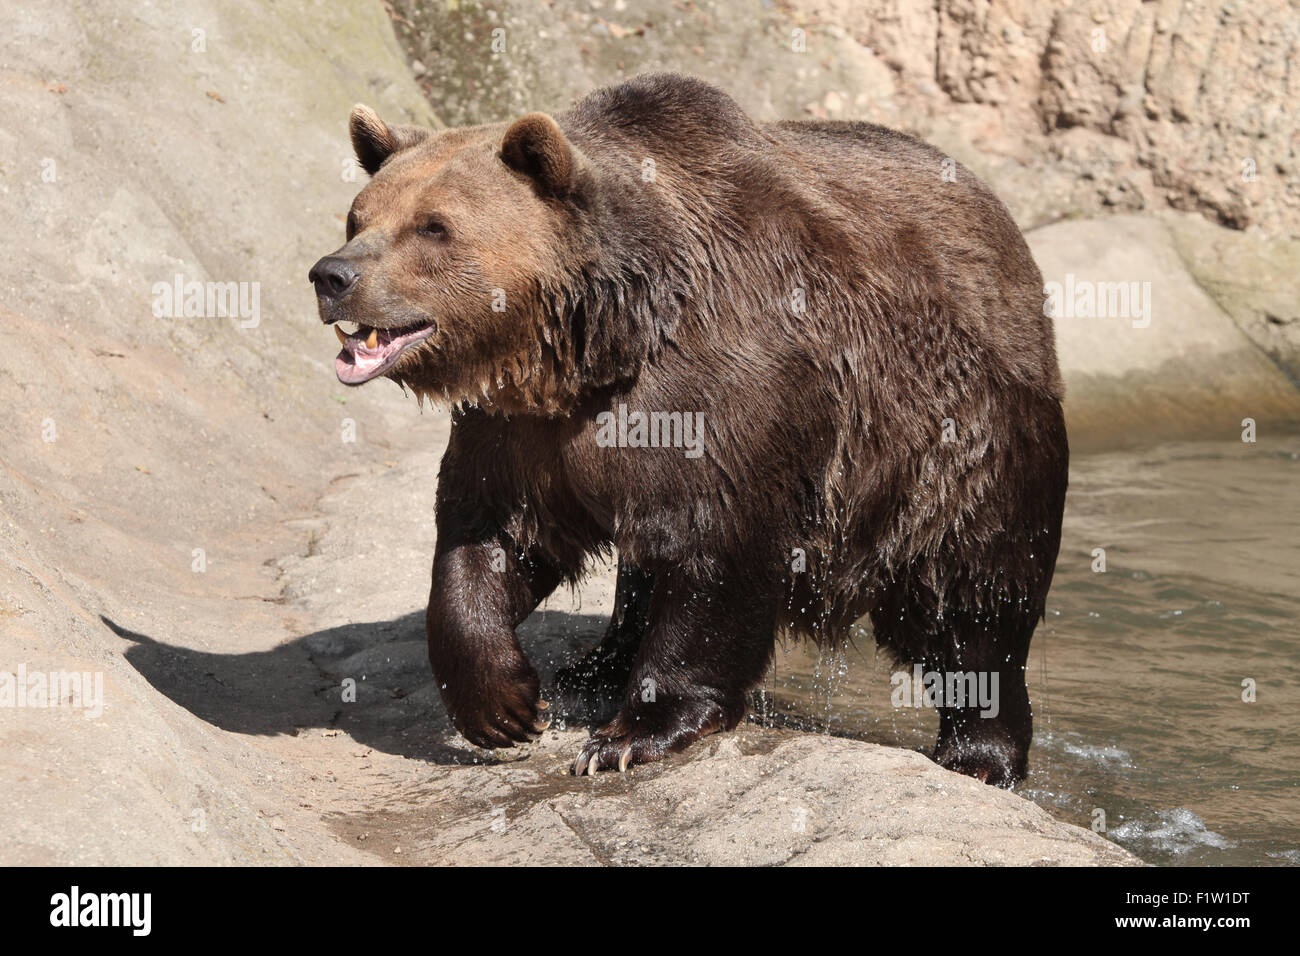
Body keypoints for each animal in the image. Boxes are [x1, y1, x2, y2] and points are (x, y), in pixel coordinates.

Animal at [308, 73, 1068, 787]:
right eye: (358, 215)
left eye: (433, 226)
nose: (332, 274)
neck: (597, 349)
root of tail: (1002, 221)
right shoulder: (521, 429)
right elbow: (489, 535)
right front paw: (506, 705)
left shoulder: (729, 391)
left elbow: (714, 554)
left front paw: (631, 735)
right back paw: (592, 669)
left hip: (957, 438)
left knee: (973, 596)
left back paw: (979, 752)